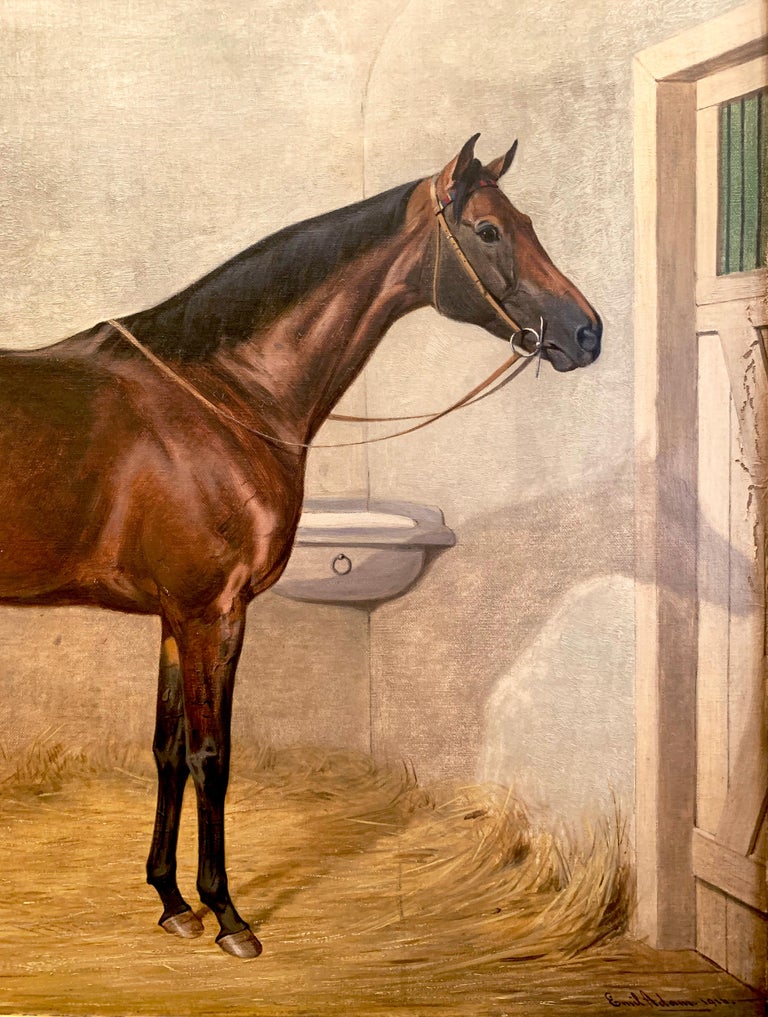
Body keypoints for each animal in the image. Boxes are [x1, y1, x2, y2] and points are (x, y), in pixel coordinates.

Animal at [0, 134, 601, 958]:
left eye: (529, 222)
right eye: (488, 230)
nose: (588, 332)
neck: (223, 393)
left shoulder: (174, 617)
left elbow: (166, 750)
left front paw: (171, 900)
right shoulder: (212, 612)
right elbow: (211, 756)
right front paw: (227, 913)